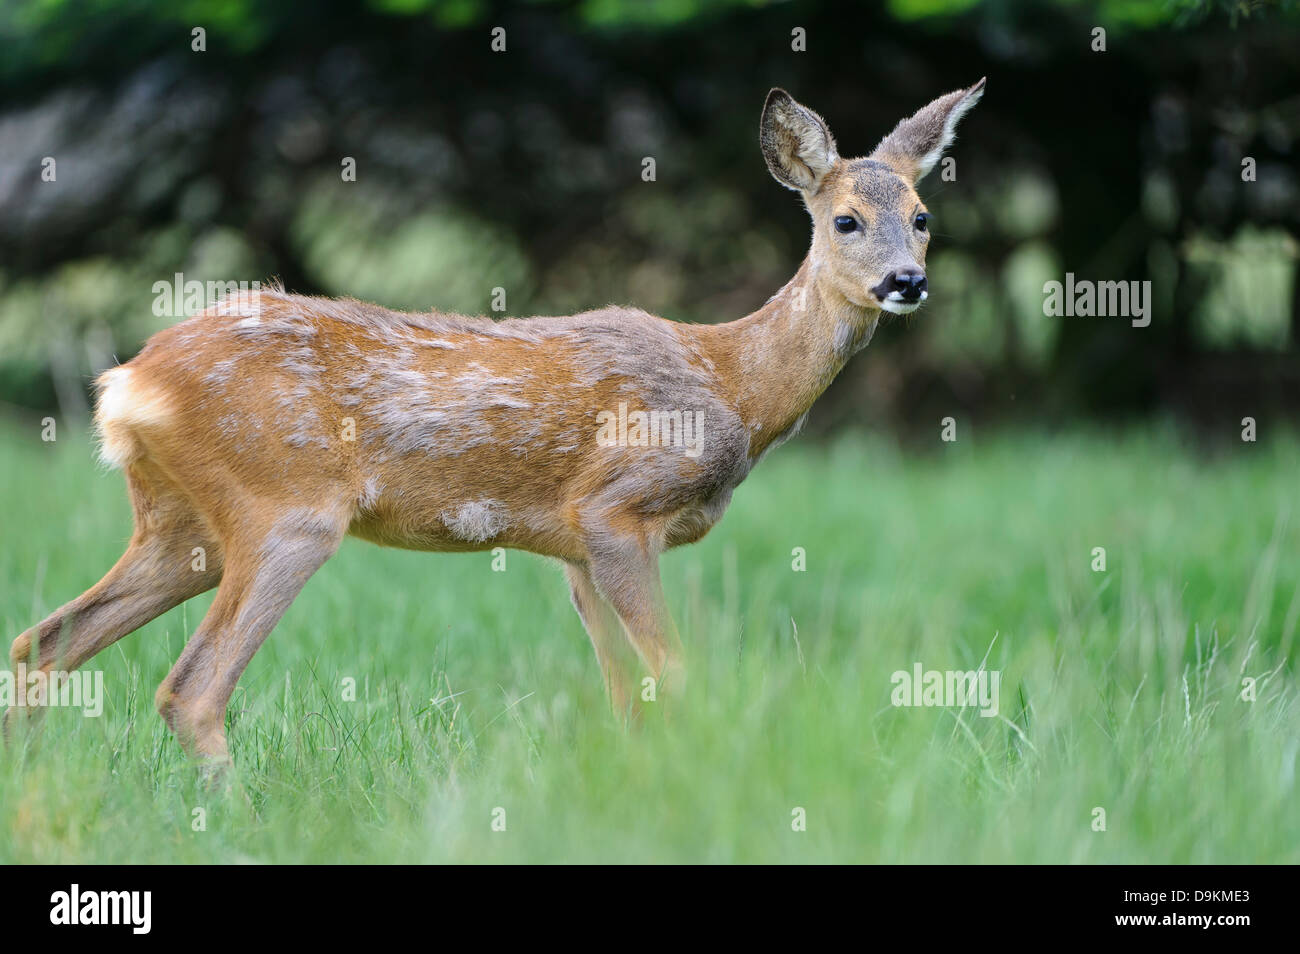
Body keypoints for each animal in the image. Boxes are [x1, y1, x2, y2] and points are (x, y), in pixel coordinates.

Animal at [6, 80, 985, 770]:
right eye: (845, 219)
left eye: (924, 217)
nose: (907, 281)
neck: (733, 383)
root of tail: (125, 383)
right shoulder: (616, 507)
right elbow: (676, 676)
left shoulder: (573, 548)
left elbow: (624, 695)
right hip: (285, 509)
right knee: (190, 689)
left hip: (180, 527)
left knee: (40, 642)